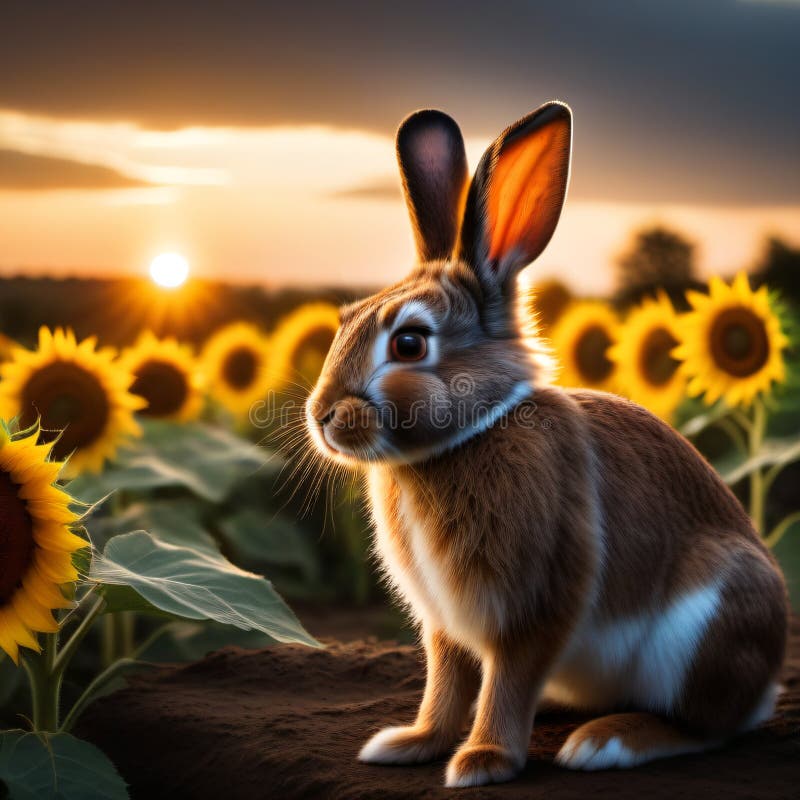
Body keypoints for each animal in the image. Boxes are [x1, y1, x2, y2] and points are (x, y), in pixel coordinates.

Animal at [305, 101, 788, 788]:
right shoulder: (444, 625)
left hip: (706, 626)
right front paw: (411, 742)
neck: (468, 435)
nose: (322, 417)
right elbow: (445, 683)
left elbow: (508, 680)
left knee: (705, 726)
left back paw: (607, 742)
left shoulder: (536, 601)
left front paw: (482, 760)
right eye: (347, 319)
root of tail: (766, 683)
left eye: (409, 343)